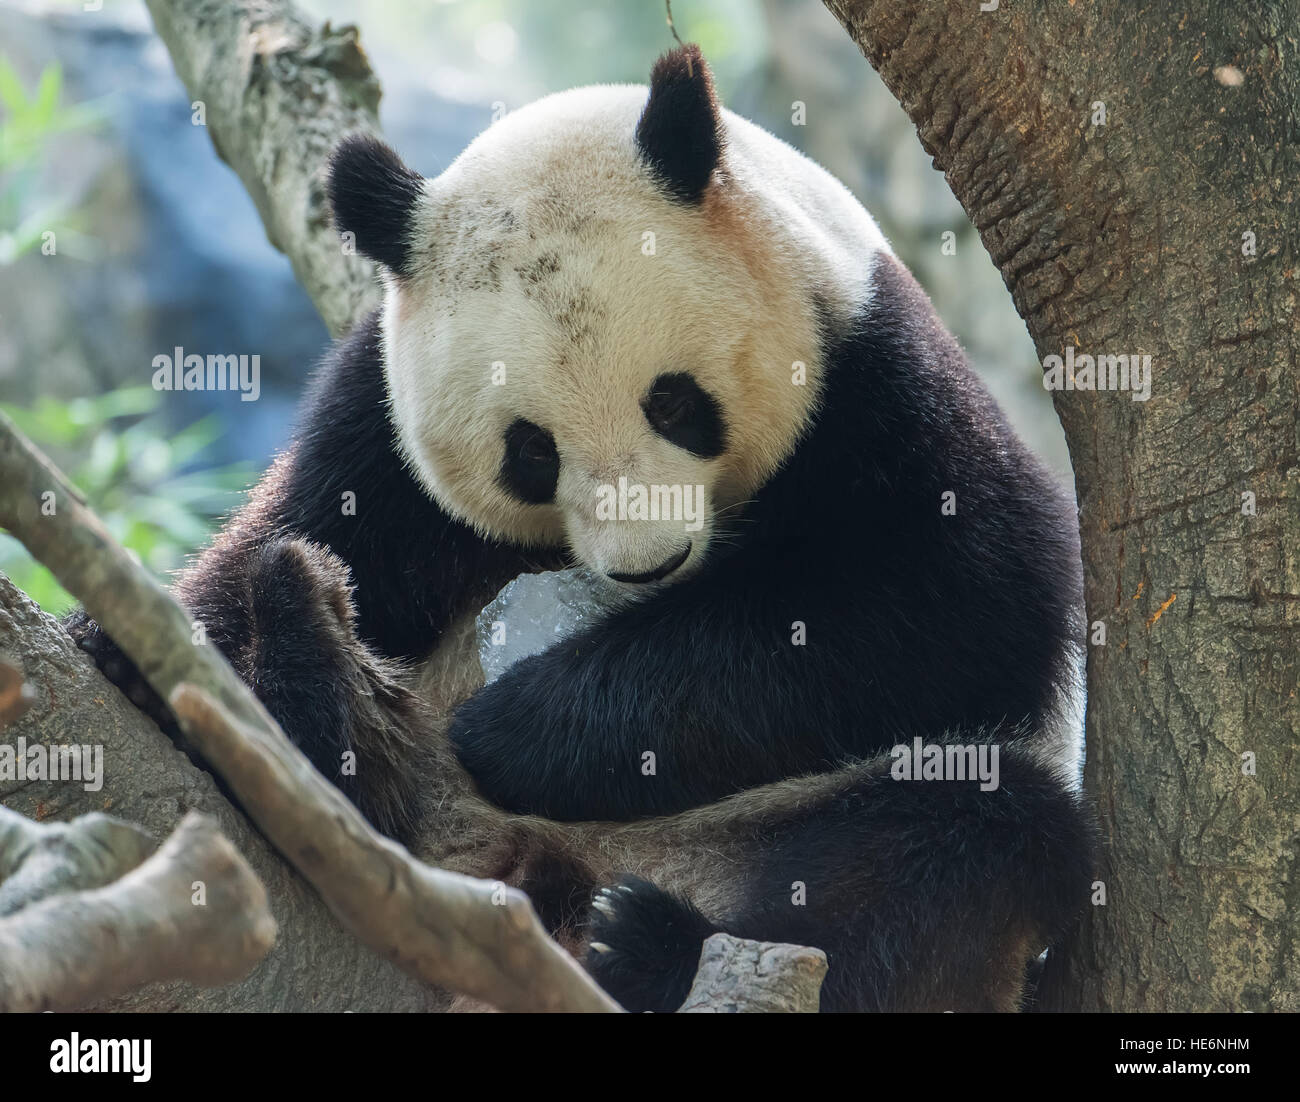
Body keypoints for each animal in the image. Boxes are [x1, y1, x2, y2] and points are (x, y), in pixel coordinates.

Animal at [70, 45, 1096, 1013]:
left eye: (675, 401)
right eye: (531, 451)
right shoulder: (375, 419)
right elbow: (299, 532)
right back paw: (320, 667)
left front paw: (517, 726)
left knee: (950, 847)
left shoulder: (870, 365)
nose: (650, 566)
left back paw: (644, 945)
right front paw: (146, 649)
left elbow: (961, 599)